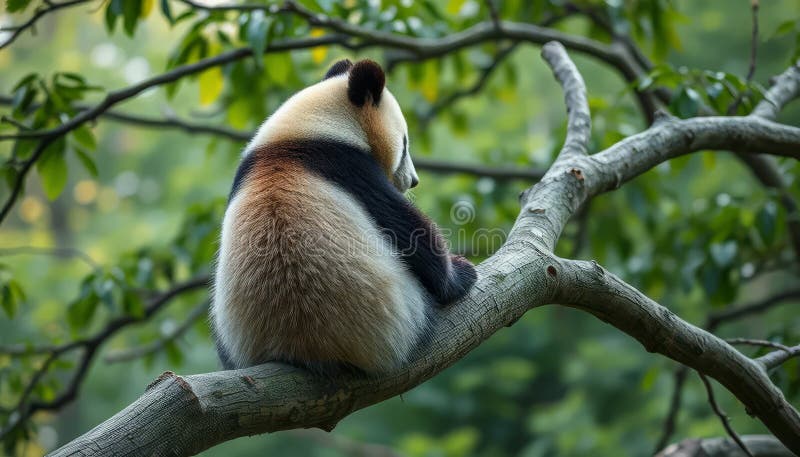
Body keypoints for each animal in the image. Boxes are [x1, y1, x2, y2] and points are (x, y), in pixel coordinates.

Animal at [211, 59, 477, 374]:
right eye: (405, 144)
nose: (413, 181)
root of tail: (304, 345)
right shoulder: (352, 168)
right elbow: (411, 231)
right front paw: (459, 274)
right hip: (402, 312)